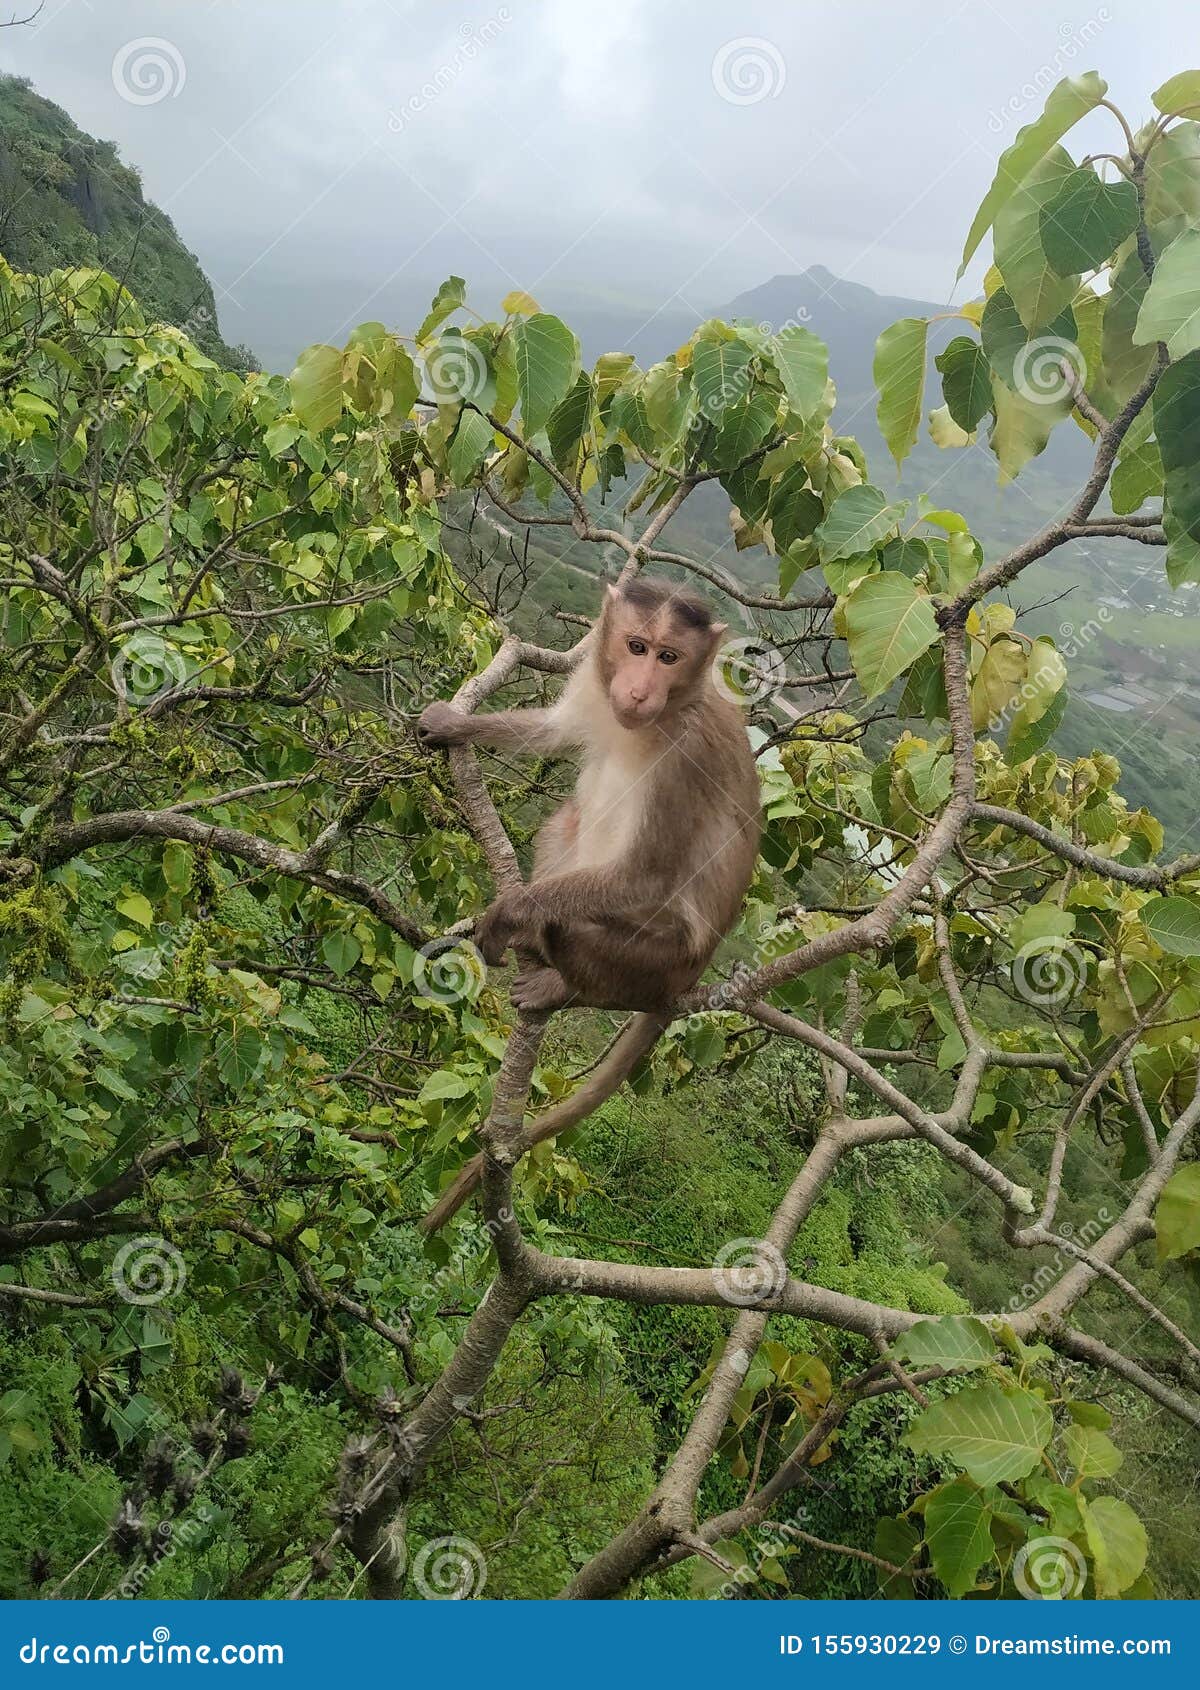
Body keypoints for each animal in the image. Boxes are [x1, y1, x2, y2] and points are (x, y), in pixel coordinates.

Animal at [416, 576, 762, 1230]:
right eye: (636, 646)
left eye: (669, 657)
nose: (639, 687)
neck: (668, 712)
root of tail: (696, 972)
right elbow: (552, 729)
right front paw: (452, 724)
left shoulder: (687, 755)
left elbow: (647, 876)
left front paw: (509, 914)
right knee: (568, 819)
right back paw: (536, 943)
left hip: (659, 963)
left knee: (579, 927)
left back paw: (561, 981)